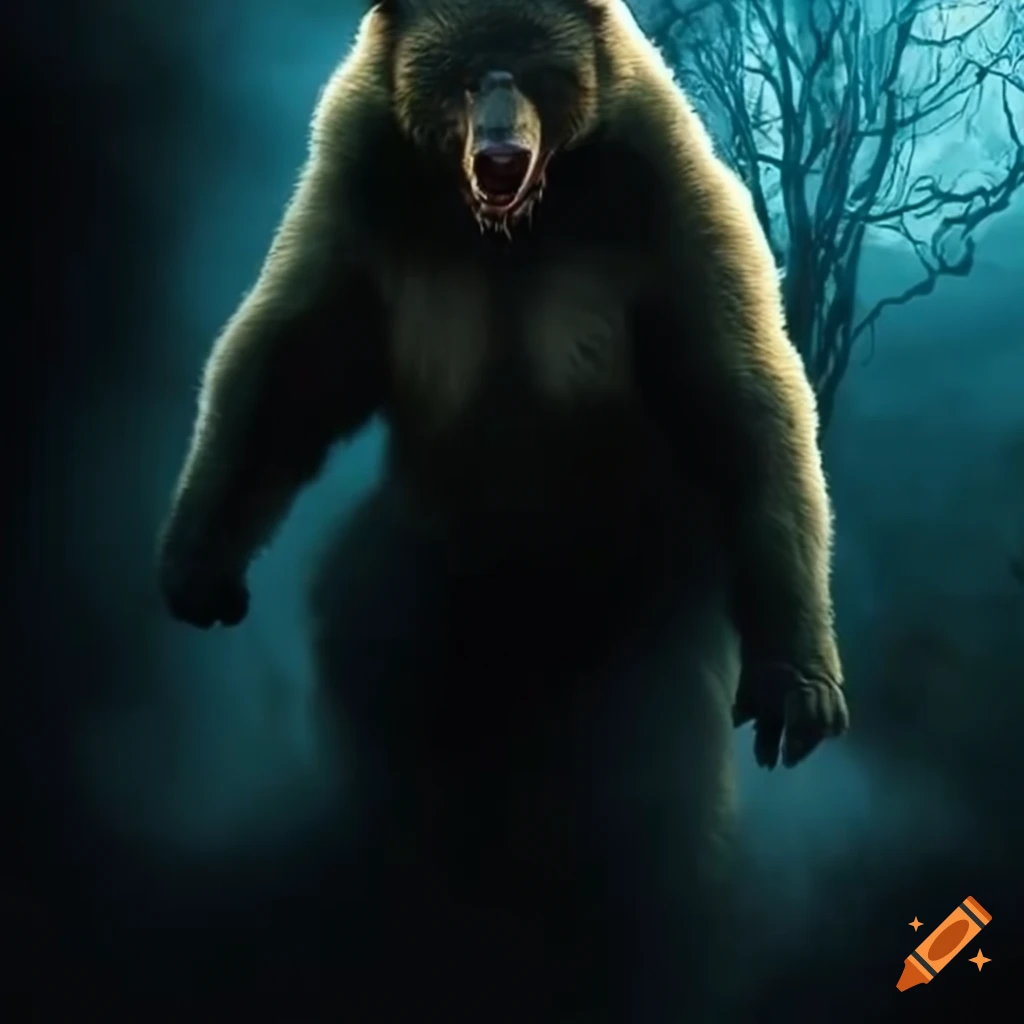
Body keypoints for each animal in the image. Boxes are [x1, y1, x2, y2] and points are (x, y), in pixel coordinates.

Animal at [157, 1, 849, 1019]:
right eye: (462, 70)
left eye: (531, 65)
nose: (498, 149)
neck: (511, 227)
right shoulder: (359, 176)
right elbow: (294, 354)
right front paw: (199, 569)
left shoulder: (663, 190)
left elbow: (744, 393)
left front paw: (798, 686)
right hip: (419, 566)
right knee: (384, 674)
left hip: (643, 601)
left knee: (652, 765)